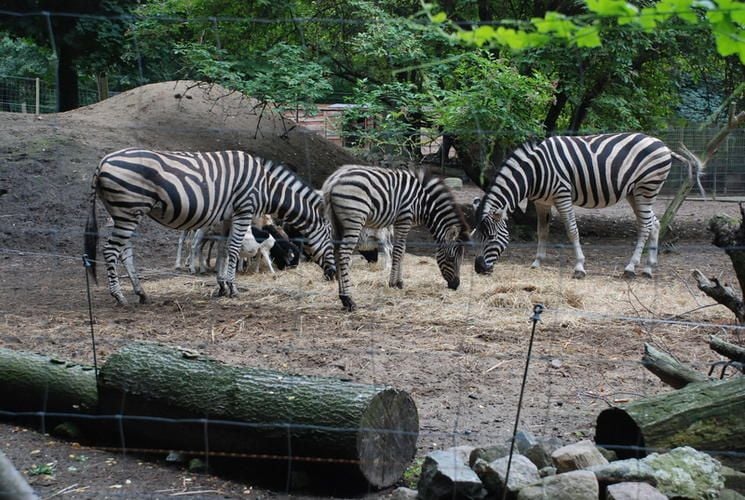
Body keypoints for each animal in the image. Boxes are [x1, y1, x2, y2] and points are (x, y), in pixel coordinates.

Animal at [84, 148, 336, 304]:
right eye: (332, 241)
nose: (333, 276)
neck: (264, 186)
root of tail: (103, 162)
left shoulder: (227, 217)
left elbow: (224, 250)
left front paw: (222, 285)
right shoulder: (244, 209)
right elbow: (233, 249)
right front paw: (233, 288)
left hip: (126, 212)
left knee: (125, 251)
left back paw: (141, 292)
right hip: (128, 210)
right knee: (110, 250)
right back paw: (119, 296)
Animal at [323, 165, 470, 311]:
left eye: (461, 258)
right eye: (451, 258)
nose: (455, 285)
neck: (423, 201)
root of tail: (334, 179)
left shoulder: (404, 222)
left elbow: (402, 250)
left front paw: (399, 282)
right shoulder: (404, 218)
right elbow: (398, 250)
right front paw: (393, 283)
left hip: (337, 223)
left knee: (336, 252)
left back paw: (341, 294)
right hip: (354, 220)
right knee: (343, 254)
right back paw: (348, 299)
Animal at [472, 133, 703, 279]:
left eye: (491, 237)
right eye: (476, 237)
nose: (479, 268)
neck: (535, 172)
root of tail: (664, 145)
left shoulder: (562, 195)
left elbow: (572, 230)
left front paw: (579, 267)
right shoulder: (541, 202)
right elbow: (542, 231)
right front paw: (537, 262)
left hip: (646, 189)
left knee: (646, 226)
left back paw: (630, 268)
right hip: (635, 193)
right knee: (654, 224)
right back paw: (648, 269)